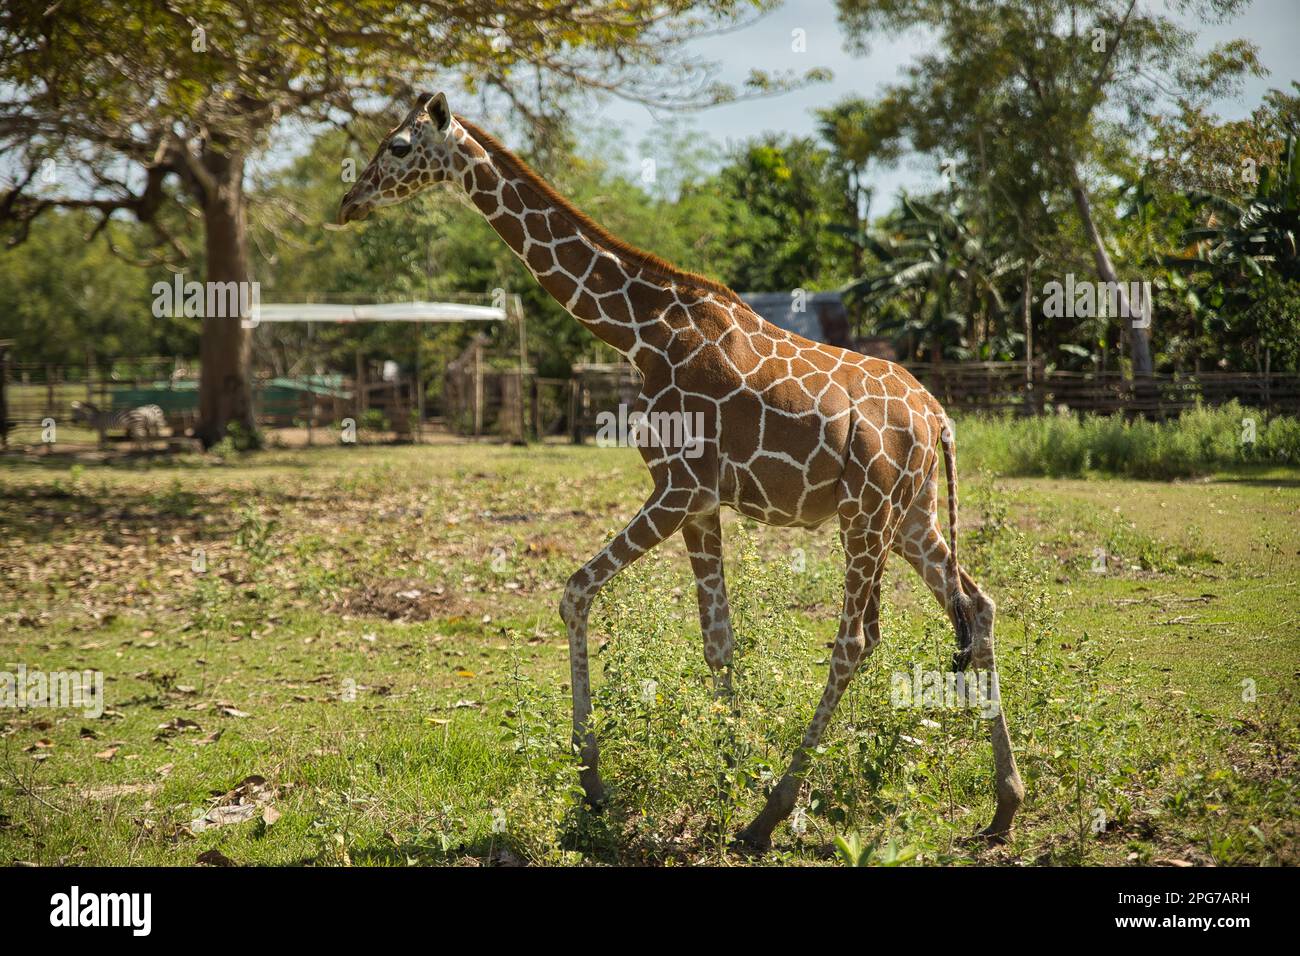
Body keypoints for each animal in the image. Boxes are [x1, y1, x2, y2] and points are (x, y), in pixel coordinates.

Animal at [337, 92, 1025, 852]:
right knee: (978, 607)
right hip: (912, 516)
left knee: (857, 639)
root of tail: (939, 418)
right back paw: (1003, 807)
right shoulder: (701, 501)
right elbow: (717, 641)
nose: (348, 201)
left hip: (865, 515)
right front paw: (728, 768)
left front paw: (597, 787)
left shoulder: (678, 485)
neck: (637, 331)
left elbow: (575, 592)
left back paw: (769, 819)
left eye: (398, 146)